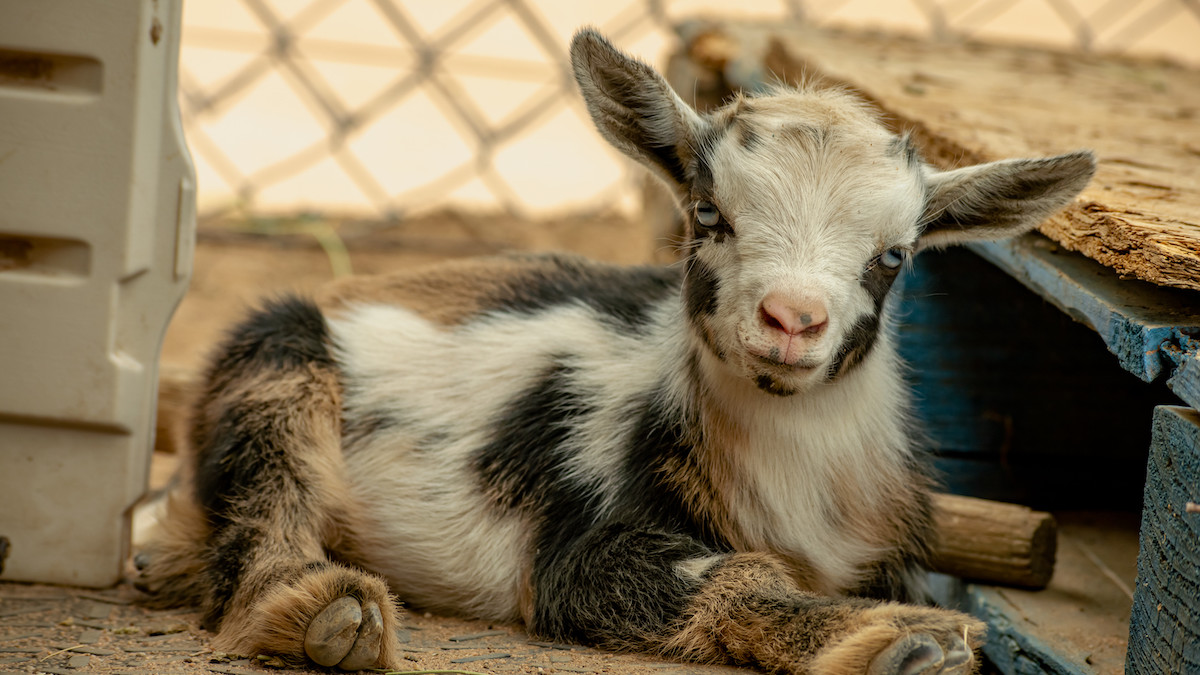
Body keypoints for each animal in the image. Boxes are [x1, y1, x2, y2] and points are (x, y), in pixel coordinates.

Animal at [135, 29, 1095, 675]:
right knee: (270, 495)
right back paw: (324, 616)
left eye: (895, 255)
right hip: (278, 358)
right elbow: (725, 574)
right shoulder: (578, 549)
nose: (792, 319)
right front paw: (903, 645)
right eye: (709, 213)